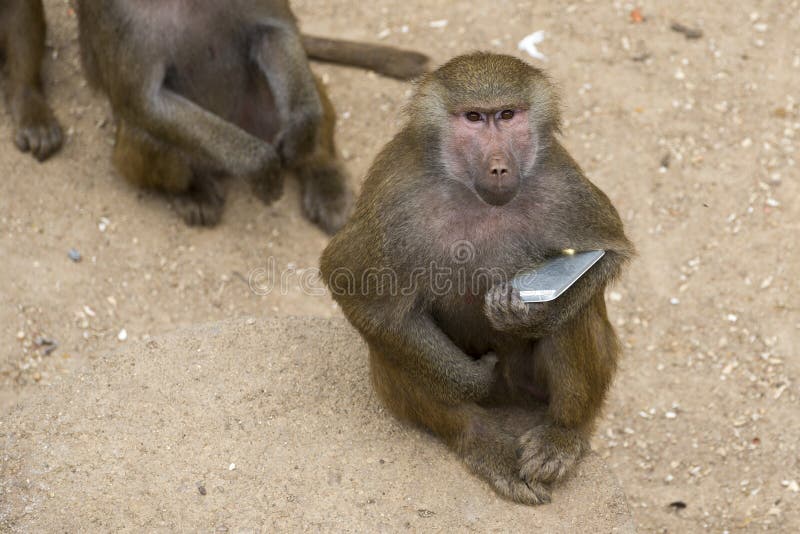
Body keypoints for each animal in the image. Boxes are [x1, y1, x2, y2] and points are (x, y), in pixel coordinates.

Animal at [74, 1, 430, 232]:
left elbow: (276, 31)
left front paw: (302, 134)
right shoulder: (116, 18)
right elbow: (141, 101)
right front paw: (261, 166)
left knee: (311, 94)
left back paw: (323, 175)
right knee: (146, 135)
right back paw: (192, 191)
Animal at [320, 52, 634, 505]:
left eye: (506, 115)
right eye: (473, 117)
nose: (500, 167)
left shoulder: (562, 184)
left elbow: (609, 253)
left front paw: (527, 318)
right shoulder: (394, 201)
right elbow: (352, 287)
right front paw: (474, 377)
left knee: (578, 311)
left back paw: (562, 436)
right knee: (392, 339)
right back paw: (482, 441)